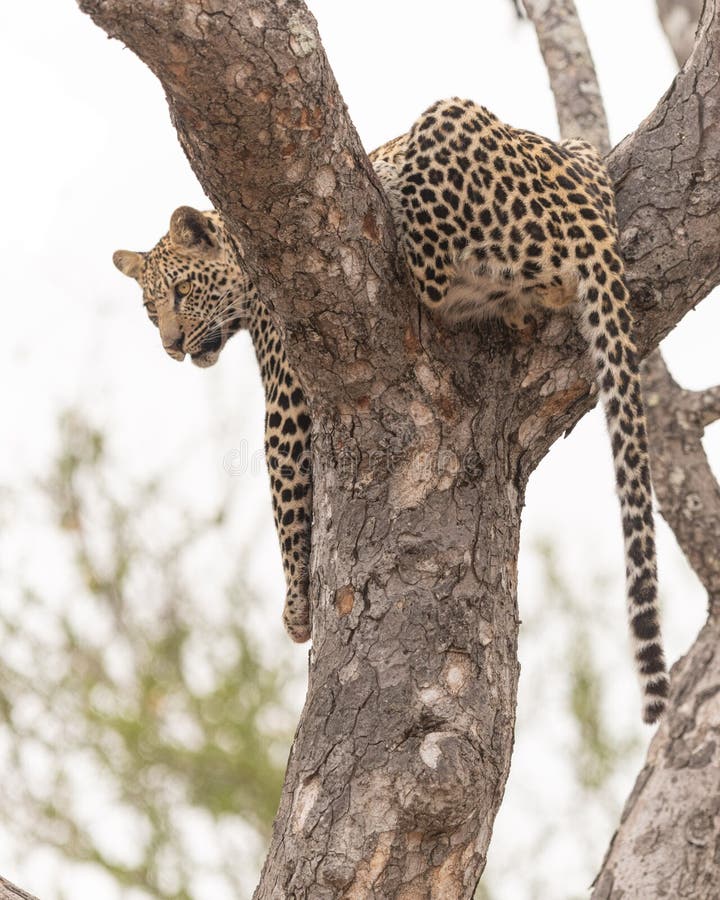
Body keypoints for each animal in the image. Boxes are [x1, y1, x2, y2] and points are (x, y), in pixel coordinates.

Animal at [113, 97, 669, 723]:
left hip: (450, 118)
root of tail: (587, 219)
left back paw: (396, 199)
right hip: (571, 162)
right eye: (149, 309)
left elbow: (284, 490)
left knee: (435, 276)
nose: (170, 345)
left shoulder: (285, 390)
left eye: (181, 292)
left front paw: (296, 607)